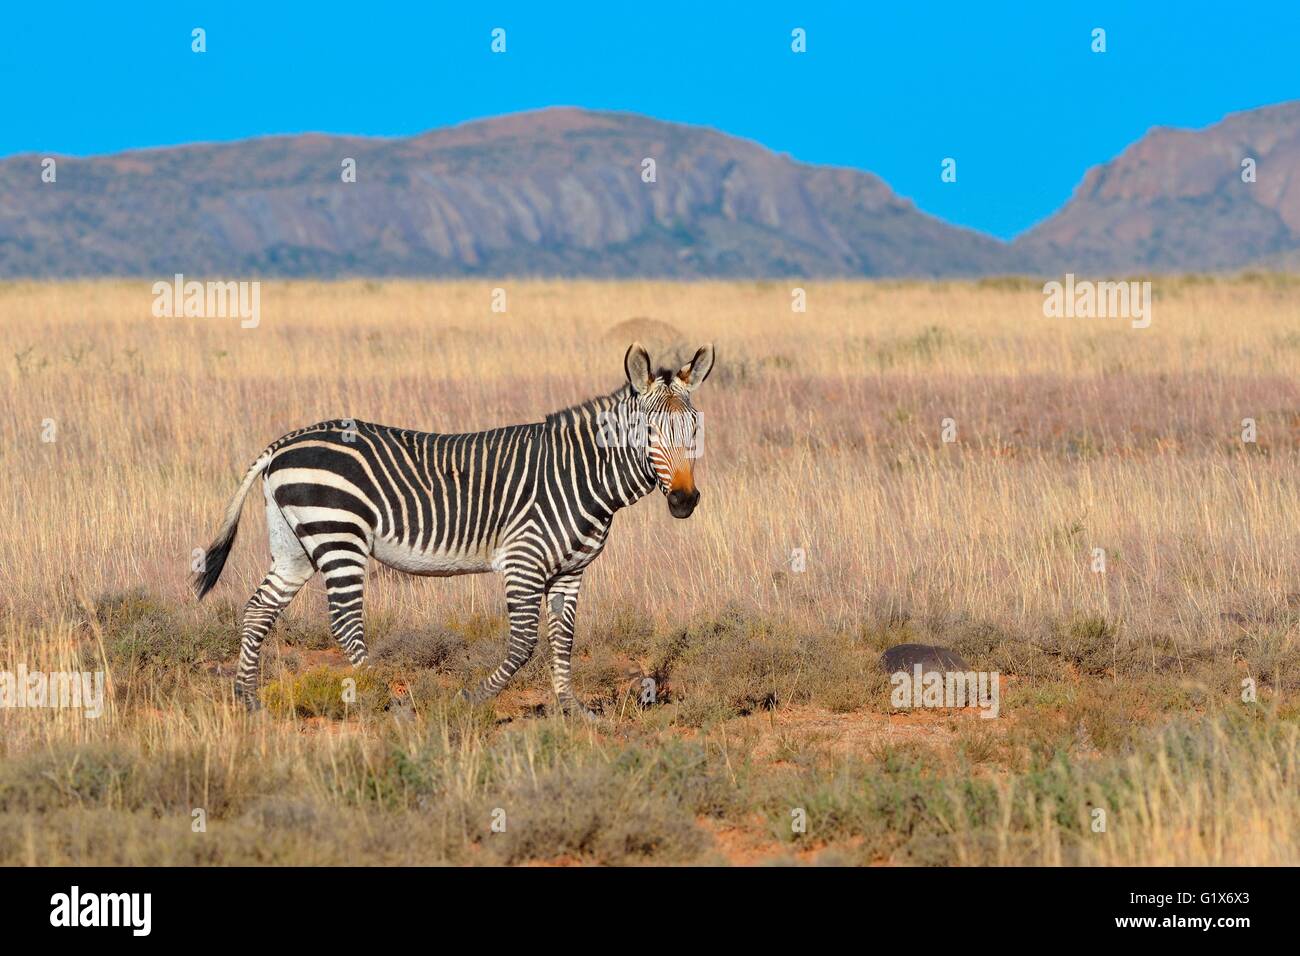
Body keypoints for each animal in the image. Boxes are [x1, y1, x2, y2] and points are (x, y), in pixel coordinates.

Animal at [193, 341, 714, 715]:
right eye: (649, 433)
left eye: (694, 429)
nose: (684, 501)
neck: (581, 475)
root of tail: (283, 443)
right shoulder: (523, 561)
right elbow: (524, 644)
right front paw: (471, 700)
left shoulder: (571, 571)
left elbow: (564, 641)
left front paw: (573, 710)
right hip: (340, 536)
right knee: (344, 623)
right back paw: (387, 701)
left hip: (296, 546)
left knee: (259, 609)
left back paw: (248, 700)